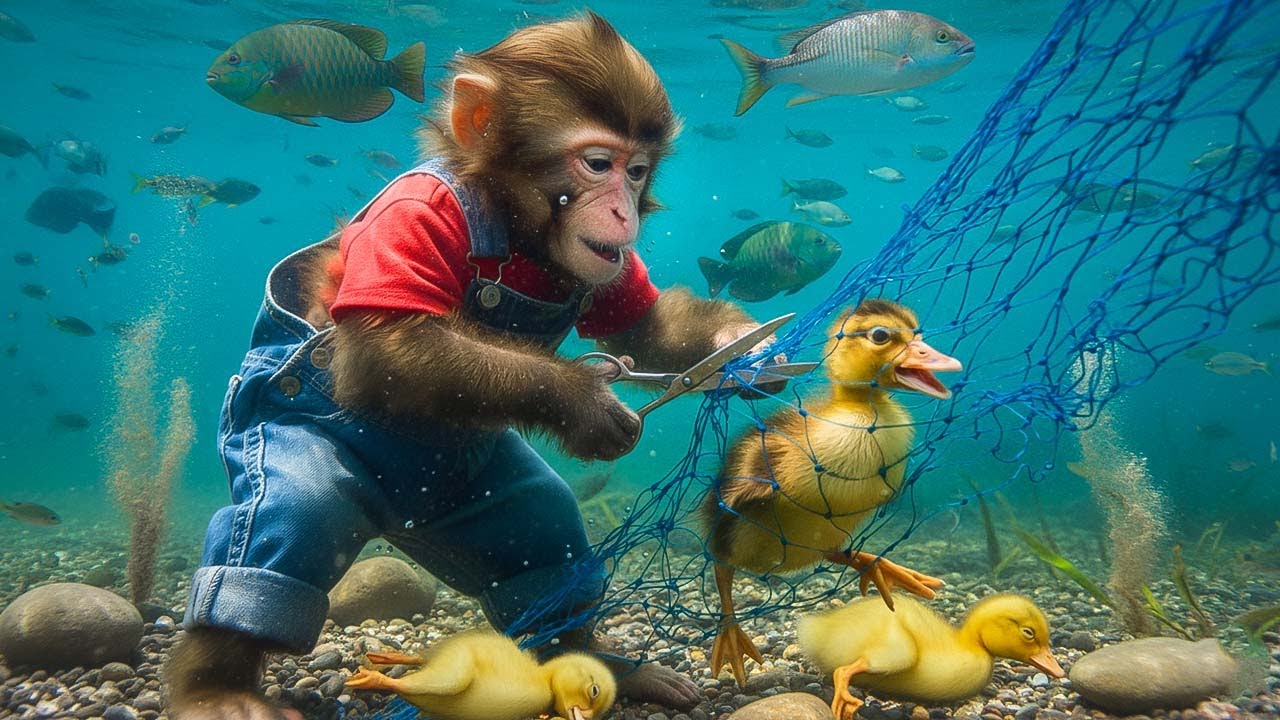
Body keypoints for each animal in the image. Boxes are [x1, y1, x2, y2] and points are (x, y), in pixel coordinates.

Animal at [166, 13, 765, 720]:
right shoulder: (415, 213)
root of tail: (400, 519)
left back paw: (602, 661)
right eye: (598, 164)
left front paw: (743, 343)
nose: (622, 207)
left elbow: (642, 328)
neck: (521, 233)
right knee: (285, 535)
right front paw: (586, 402)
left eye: (638, 172)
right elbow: (391, 346)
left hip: (485, 498)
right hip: (273, 429)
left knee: (543, 546)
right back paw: (219, 687)